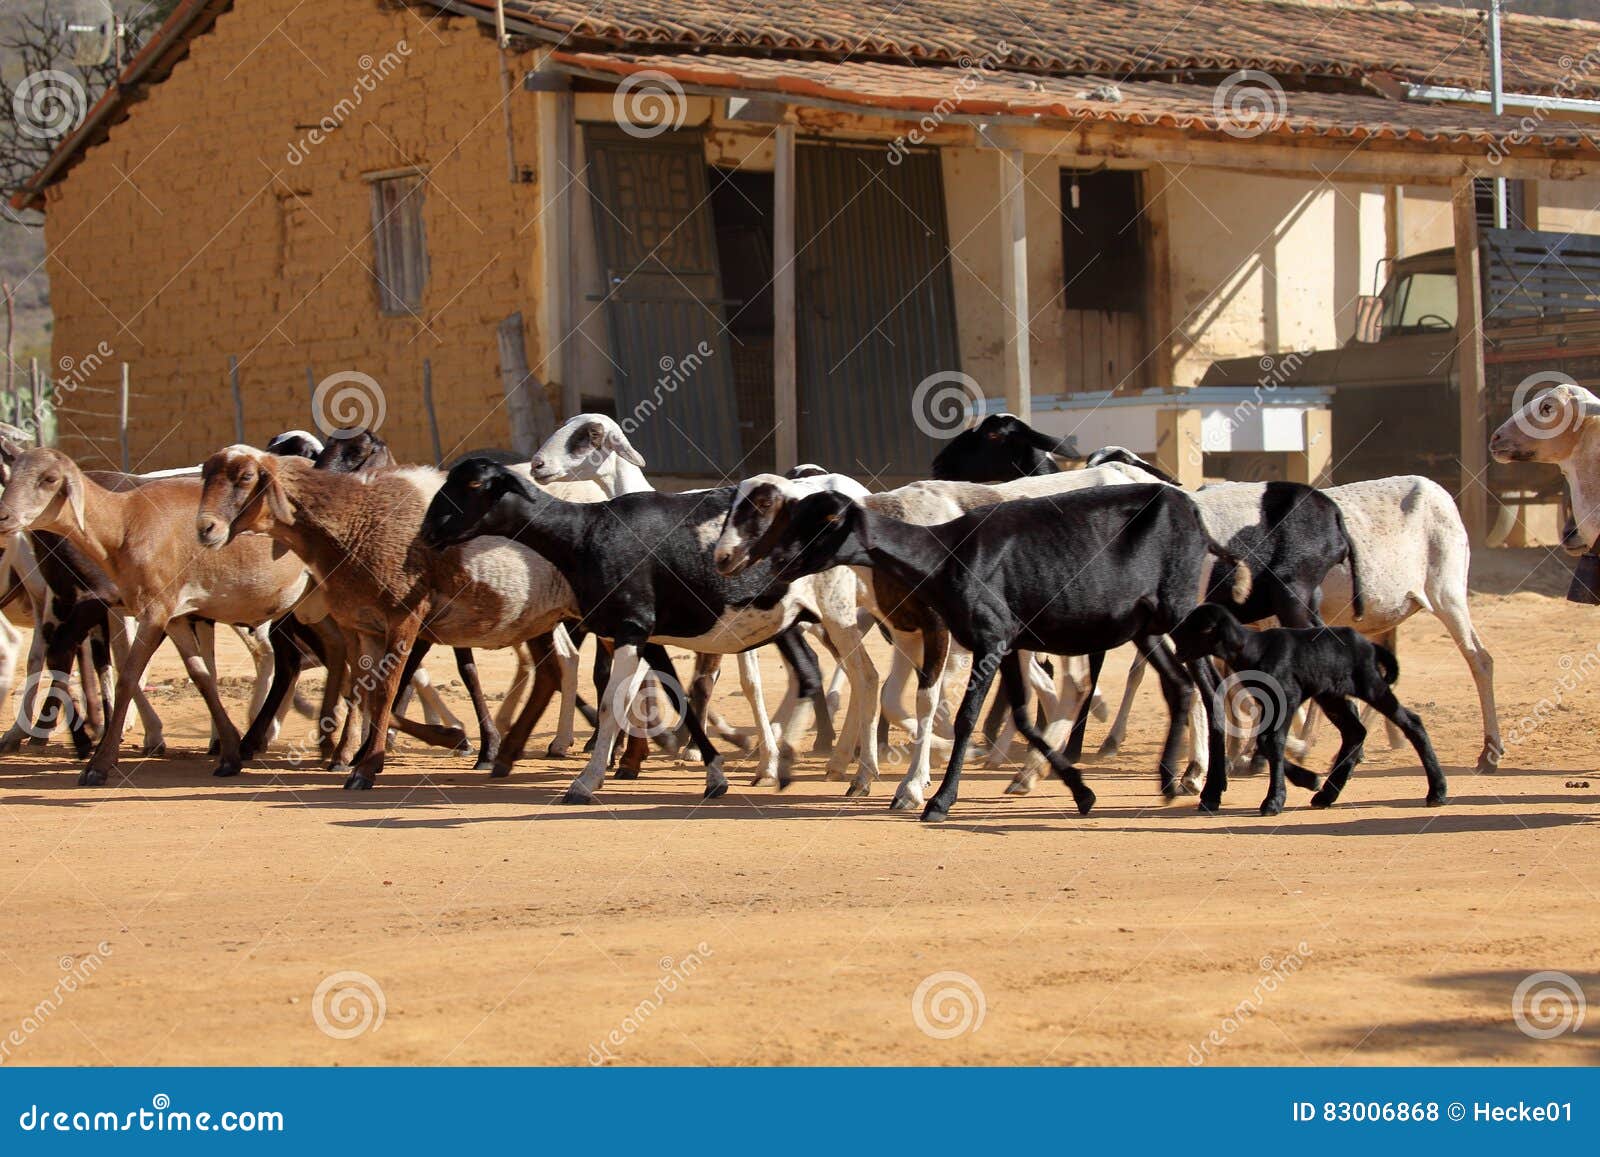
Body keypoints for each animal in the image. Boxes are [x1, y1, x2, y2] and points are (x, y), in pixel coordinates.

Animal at [0, 448, 309, 784]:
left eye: (50, 478)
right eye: (11, 474)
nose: (3, 516)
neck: (124, 521)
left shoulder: (152, 610)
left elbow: (127, 676)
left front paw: (99, 764)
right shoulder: (174, 617)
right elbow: (202, 677)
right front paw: (229, 754)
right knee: (288, 661)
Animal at [420, 458, 881, 803]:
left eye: (474, 483)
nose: (427, 533)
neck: (583, 532)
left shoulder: (630, 626)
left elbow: (613, 704)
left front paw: (585, 783)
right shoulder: (650, 634)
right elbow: (682, 699)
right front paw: (714, 775)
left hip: (836, 610)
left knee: (865, 676)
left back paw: (856, 773)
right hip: (803, 617)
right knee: (827, 675)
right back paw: (804, 764)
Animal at [728, 485, 1271, 821]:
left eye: (816, 524)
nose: (761, 572)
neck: (948, 551)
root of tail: (1197, 518)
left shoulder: (989, 640)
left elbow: (967, 717)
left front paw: (936, 800)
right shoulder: (1011, 643)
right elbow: (1026, 716)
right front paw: (1081, 791)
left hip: (1181, 615)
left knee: (1210, 690)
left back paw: (1211, 788)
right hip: (1149, 628)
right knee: (1181, 688)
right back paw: (1173, 782)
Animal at [1169, 604, 1447, 811]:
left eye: (1196, 626)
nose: (1172, 635)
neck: (1255, 648)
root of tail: (1367, 645)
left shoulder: (1287, 697)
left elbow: (1272, 741)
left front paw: (1274, 800)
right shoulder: (1269, 702)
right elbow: (1266, 742)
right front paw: (1305, 781)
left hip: (1370, 686)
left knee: (1410, 722)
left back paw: (1437, 791)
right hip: (1331, 696)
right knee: (1354, 732)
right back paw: (1326, 795)